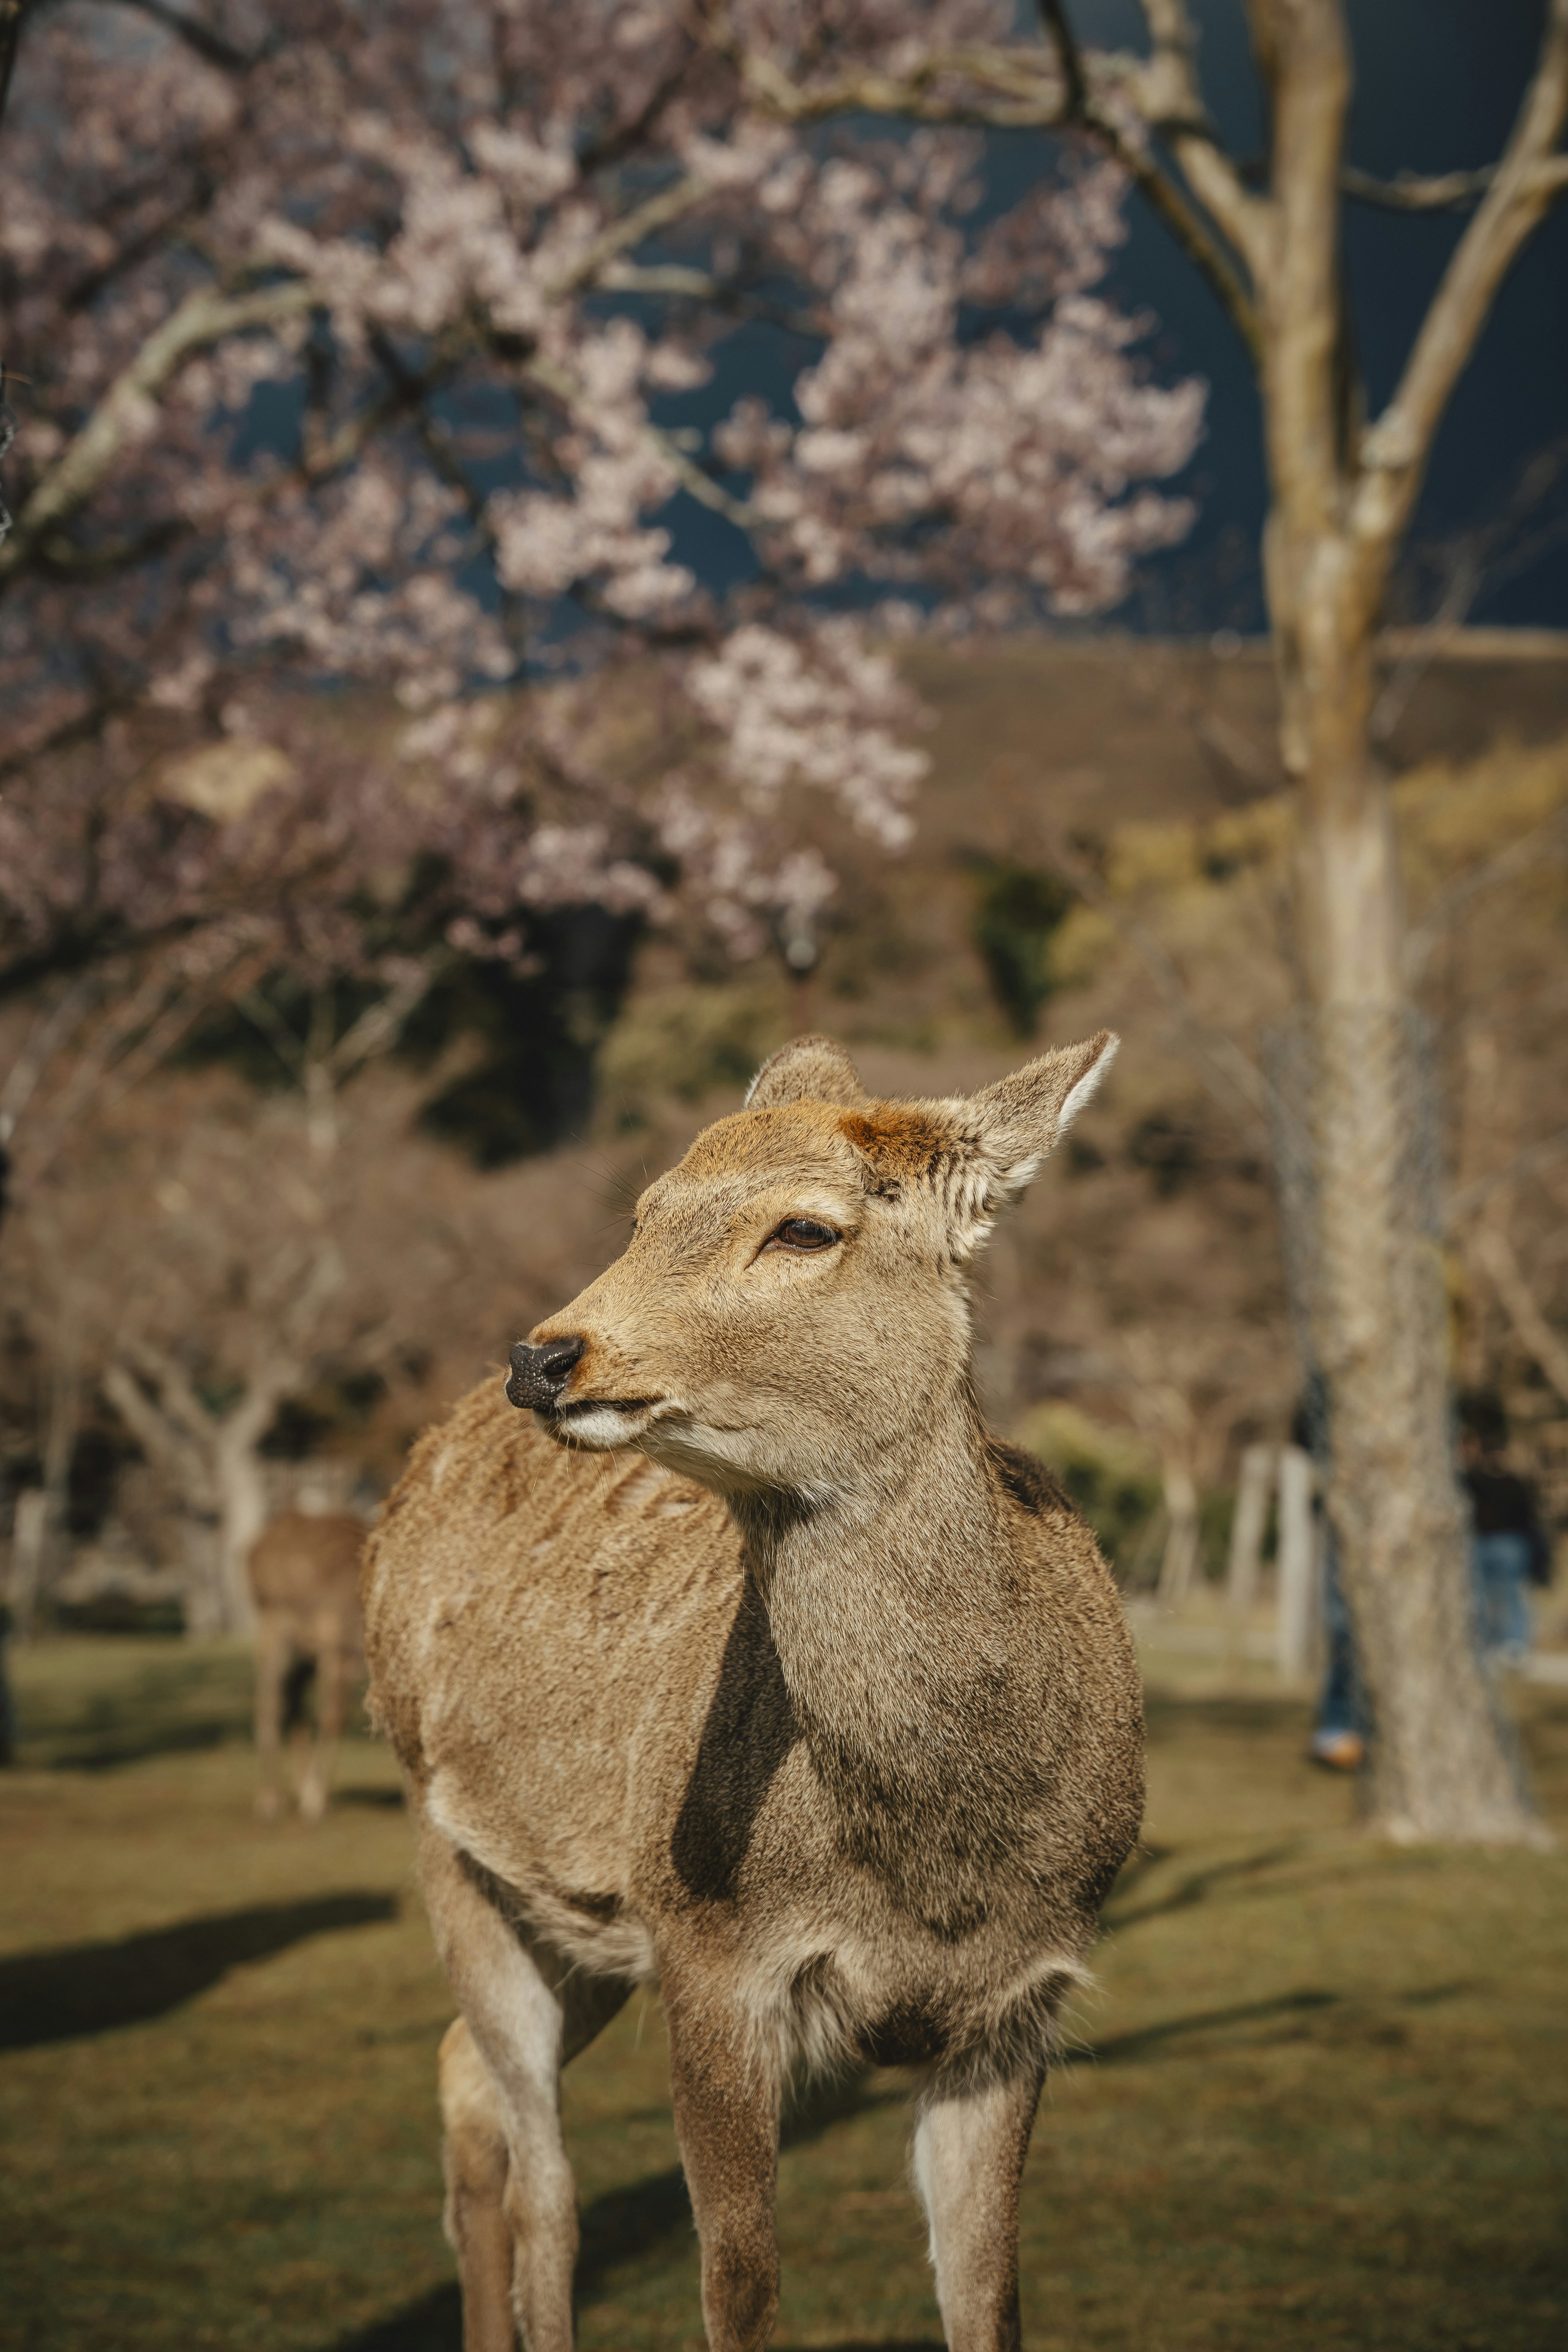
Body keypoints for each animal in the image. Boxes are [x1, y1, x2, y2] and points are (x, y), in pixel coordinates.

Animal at [248, 1509, 366, 1821]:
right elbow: (333, 1718)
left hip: (301, 1652)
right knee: (270, 1702)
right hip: (275, 1629)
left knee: (291, 1704)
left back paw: (292, 1793)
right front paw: (316, 1802)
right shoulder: (337, 1650)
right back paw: (270, 1801)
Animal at [362, 1030, 1144, 2352]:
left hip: (579, 1927)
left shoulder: (1018, 2001)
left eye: (805, 1229)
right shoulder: (710, 1953)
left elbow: (988, 2297)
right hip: (452, 1846)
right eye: (643, 1210)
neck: (930, 1866)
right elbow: (737, 2287)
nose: (545, 1354)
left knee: (465, 2079)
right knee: (544, 2180)